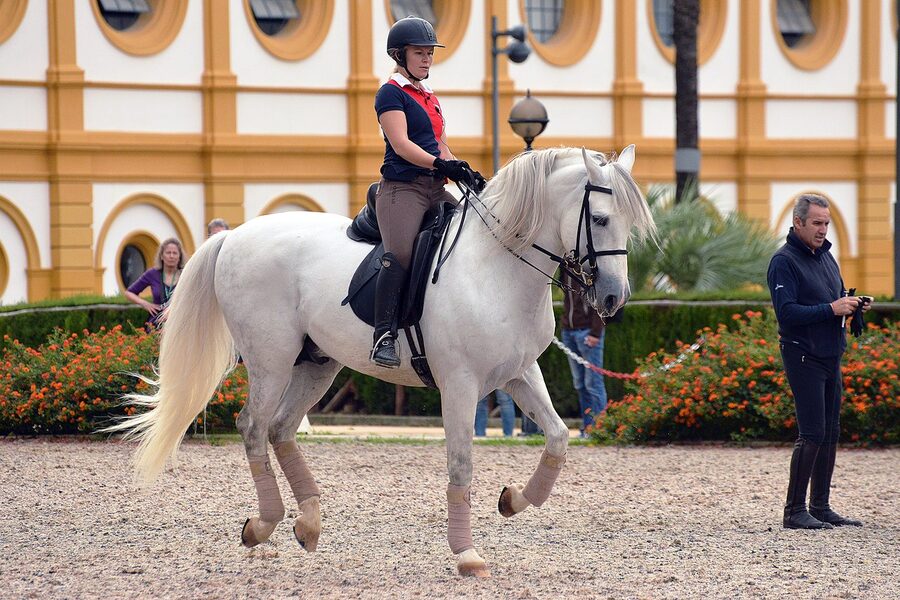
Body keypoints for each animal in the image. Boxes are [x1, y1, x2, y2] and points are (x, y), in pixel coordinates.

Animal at [110, 145, 656, 577]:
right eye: (600, 219)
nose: (613, 298)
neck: (497, 265)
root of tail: (234, 236)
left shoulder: (519, 373)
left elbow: (560, 438)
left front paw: (513, 500)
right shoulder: (460, 384)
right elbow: (461, 464)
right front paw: (467, 554)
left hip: (317, 363)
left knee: (280, 428)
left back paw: (307, 523)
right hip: (271, 361)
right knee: (253, 427)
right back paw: (263, 524)